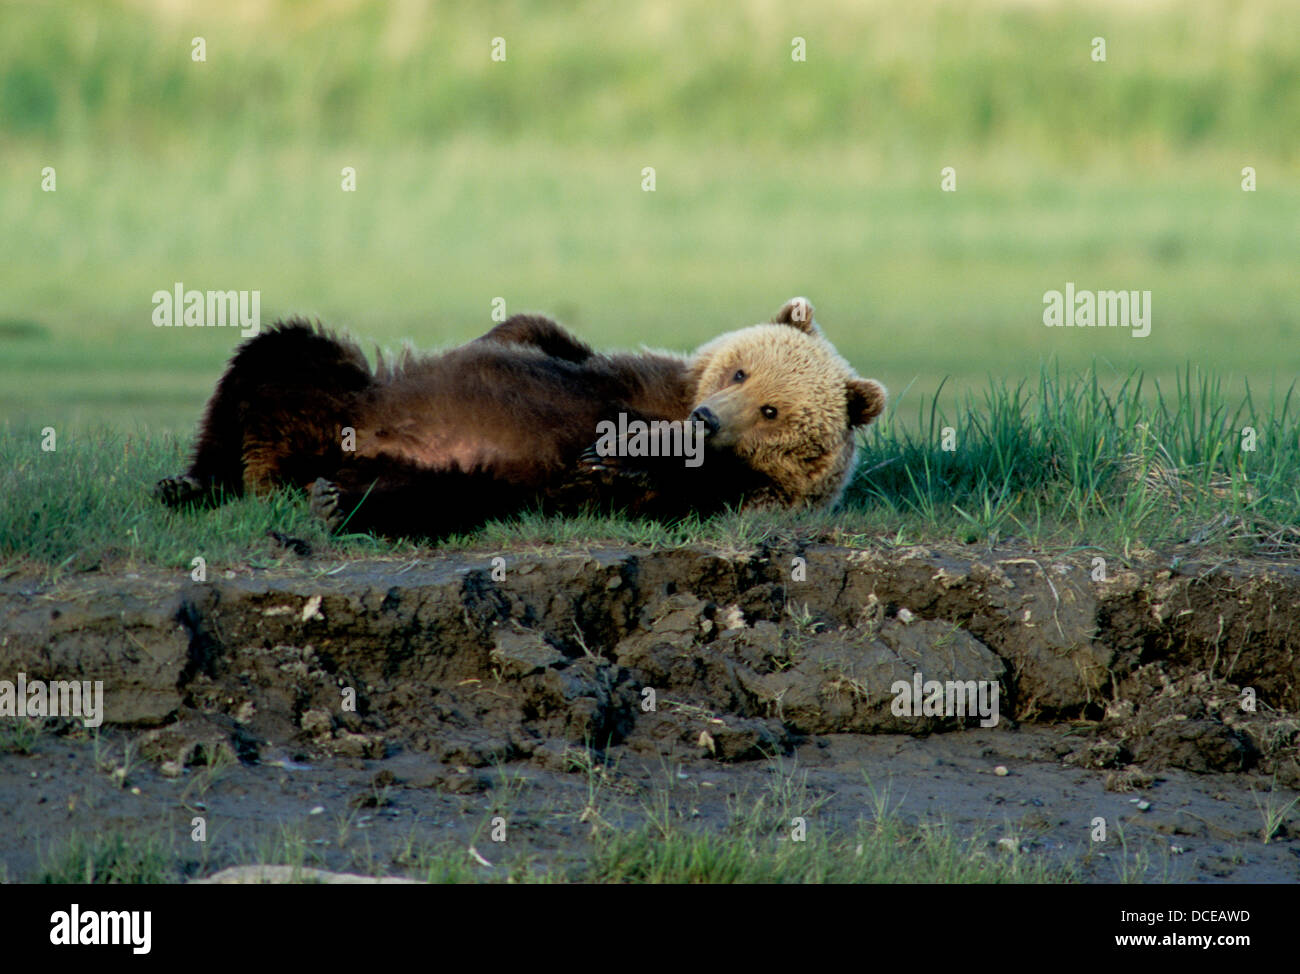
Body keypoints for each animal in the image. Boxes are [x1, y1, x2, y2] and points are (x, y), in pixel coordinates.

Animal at [154, 298, 886, 540]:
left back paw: (337, 501)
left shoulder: (722, 493)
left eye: (771, 410)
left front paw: (616, 460)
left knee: (433, 500)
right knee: (274, 355)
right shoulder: (636, 371)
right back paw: (191, 483)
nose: (707, 417)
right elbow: (533, 333)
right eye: (739, 371)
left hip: (468, 477)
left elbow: (640, 488)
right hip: (340, 397)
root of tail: (284, 459)